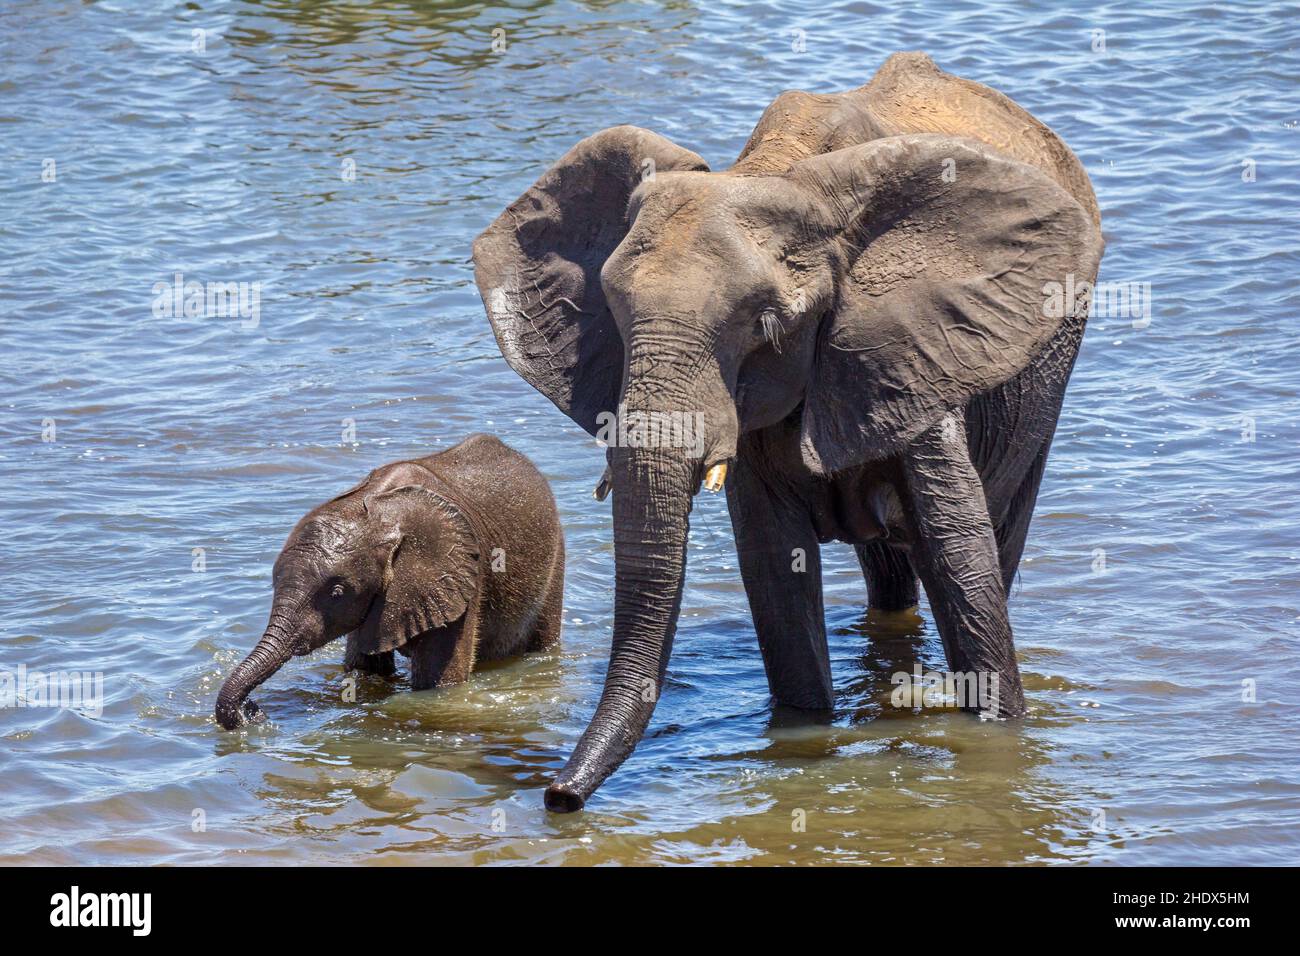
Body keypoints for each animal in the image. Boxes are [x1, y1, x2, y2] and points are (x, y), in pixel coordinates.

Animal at [214, 434, 565, 730]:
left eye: (337, 592)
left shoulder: (462, 577)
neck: (377, 512)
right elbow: (365, 667)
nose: (253, 711)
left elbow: (438, 684)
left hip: (557, 558)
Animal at [473, 52, 1104, 811]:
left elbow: (961, 561)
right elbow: (774, 569)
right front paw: (804, 733)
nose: (558, 795)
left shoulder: (915, 353)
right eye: (616, 319)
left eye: (767, 327)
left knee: (997, 533)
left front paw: (995, 740)